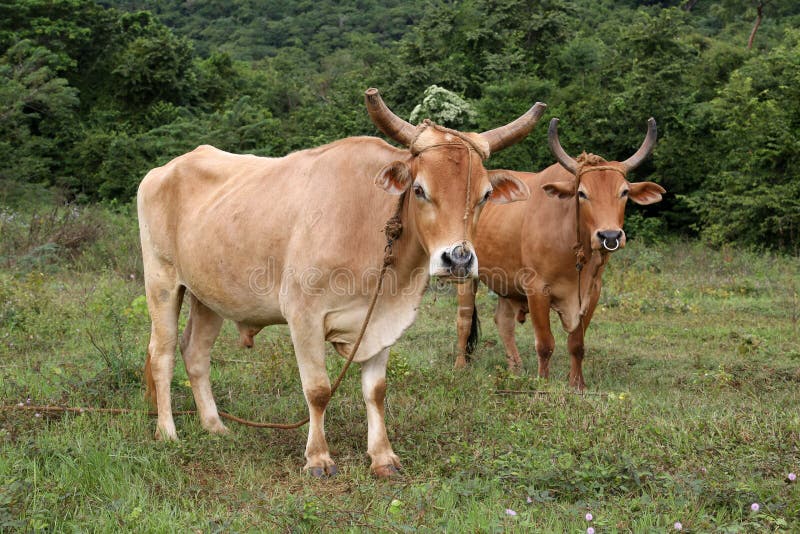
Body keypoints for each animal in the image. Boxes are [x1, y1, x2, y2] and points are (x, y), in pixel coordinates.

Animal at [137, 88, 545, 477]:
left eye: (485, 195)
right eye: (419, 189)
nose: (458, 259)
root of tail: (165, 169)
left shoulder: (382, 318)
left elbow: (376, 392)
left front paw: (382, 457)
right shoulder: (303, 315)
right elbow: (317, 390)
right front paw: (318, 458)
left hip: (208, 296)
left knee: (196, 354)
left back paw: (215, 426)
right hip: (161, 281)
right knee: (162, 353)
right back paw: (167, 432)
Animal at [454, 117, 665, 389]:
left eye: (624, 192)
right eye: (582, 193)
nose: (610, 236)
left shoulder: (592, 291)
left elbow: (576, 344)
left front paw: (577, 384)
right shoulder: (536, 289)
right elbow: (545, 343)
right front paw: (543, 382)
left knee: (504, 321)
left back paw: (515, 369)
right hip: (465, 274)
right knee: (464, 318)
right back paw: (460, 366)